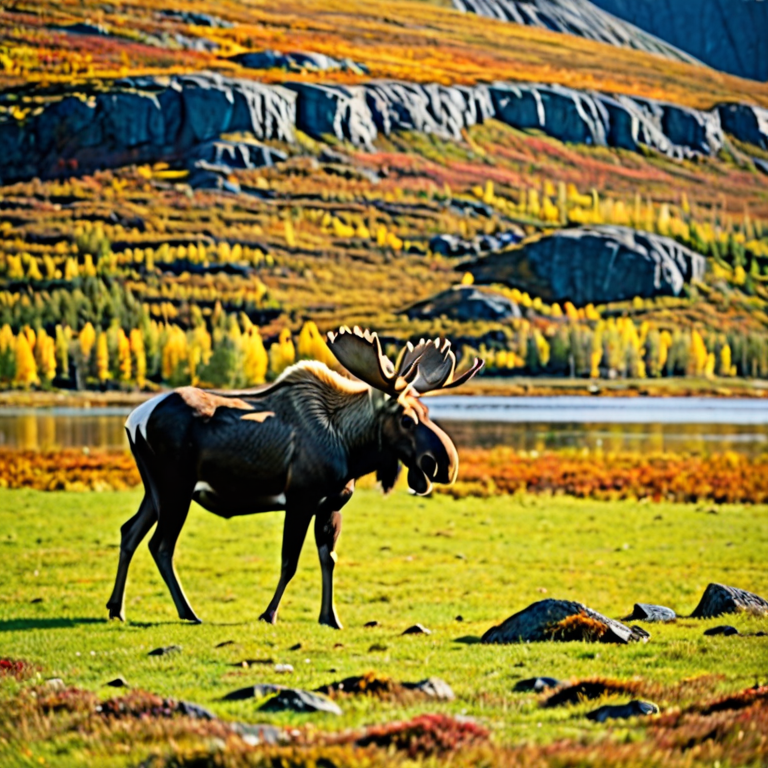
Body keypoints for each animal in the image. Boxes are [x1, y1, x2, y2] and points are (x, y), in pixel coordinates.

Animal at [106, 326, 483, 628]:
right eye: (405, 418)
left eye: (426, 411)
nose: (445, 463)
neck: (350, 447)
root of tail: (133, 419)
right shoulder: (301, 498)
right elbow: (290, 562)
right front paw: (268, 614)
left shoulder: (331, 505)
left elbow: (328, 559)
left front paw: (330, 618)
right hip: (176, 488)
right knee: (161, 545)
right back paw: (188, 612)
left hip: (154, 490)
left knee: (129, 532)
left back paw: (116, 607)